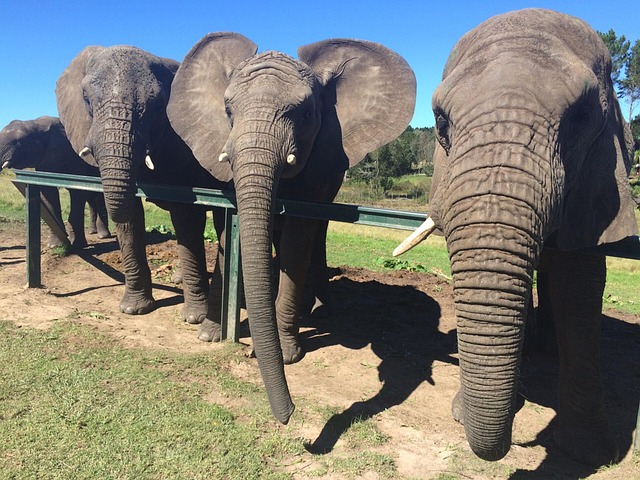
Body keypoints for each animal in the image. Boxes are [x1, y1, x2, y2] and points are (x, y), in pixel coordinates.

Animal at [0, 115, 111, 248]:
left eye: (19, 141)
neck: (37, 125)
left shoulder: (76, 157)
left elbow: (77, 192)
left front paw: (78, 244)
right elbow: (49, 193)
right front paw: (55, 245)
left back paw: (103, 235)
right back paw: (93, 231)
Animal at [55, 45, 229, 324]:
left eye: (157, 105)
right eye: (86, 98)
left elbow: (187, 217)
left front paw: (195, 318)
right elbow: (130, 217)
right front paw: (133, 309)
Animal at [167, 33, 416, 424]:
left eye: (306, 115)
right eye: (228, 112)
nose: (288, 414)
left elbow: (298, 239)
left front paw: (286, 354)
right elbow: (228, 229)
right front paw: (209, 333)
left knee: (314, 234)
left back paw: (314, 308)